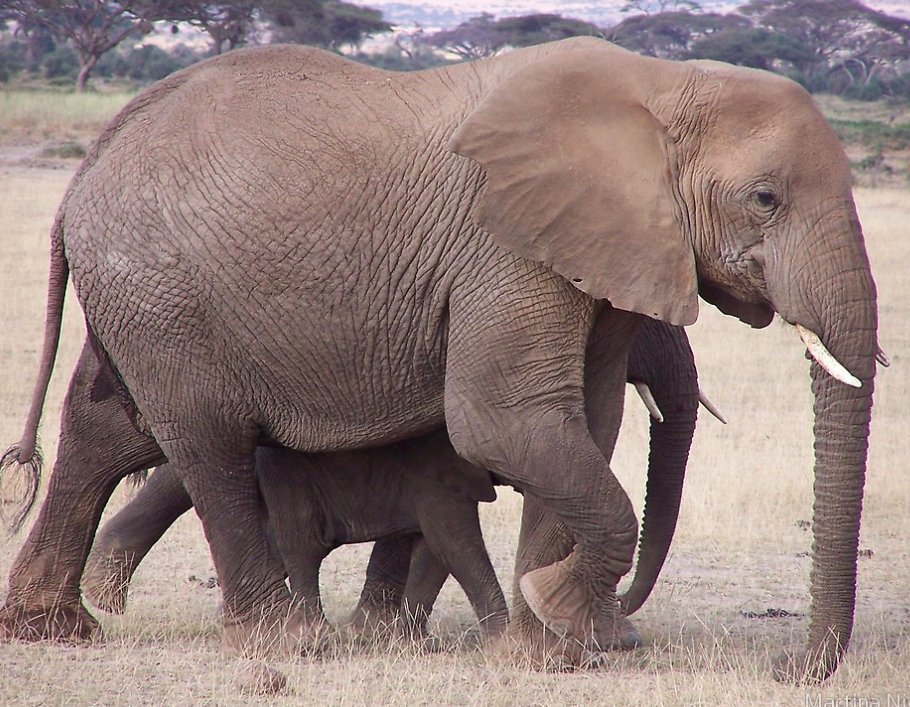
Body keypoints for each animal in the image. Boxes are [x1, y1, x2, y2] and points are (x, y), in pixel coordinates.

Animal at [81, 316, 709, 641]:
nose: (623, 614)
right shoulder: (438, 471)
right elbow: (450, 536)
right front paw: (496, 634)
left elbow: (432, 544)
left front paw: (395, 634)